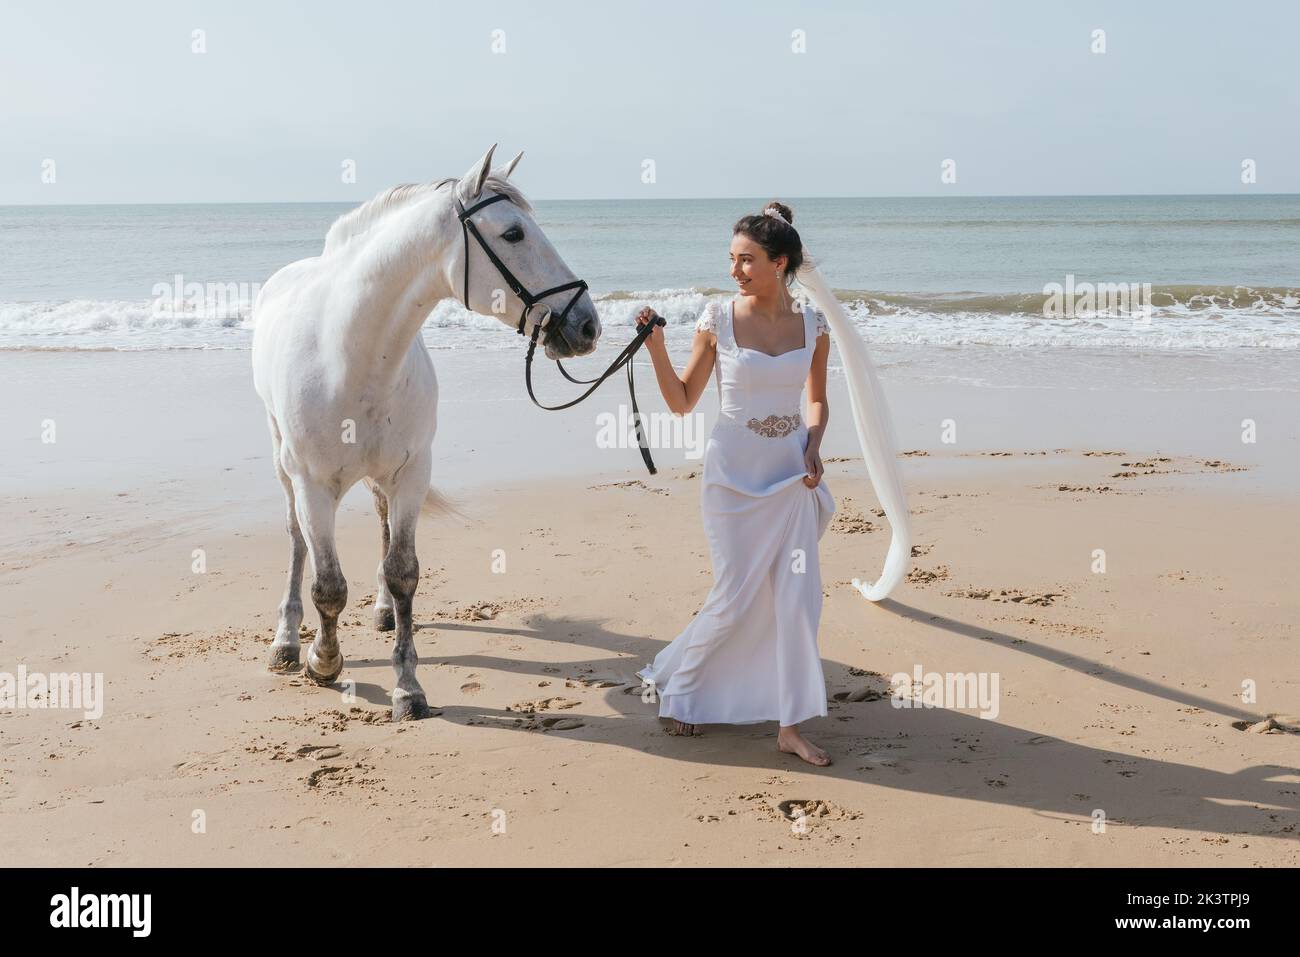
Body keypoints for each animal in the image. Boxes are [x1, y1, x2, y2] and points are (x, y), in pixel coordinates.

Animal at [251, 144, 601, 721]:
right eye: (513, 234)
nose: (587, 324)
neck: (349, 353)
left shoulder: (411, 475)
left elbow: (403, 572)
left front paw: (408, 687)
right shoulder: (313, 485)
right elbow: (327, 585)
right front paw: (323, 660)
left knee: (380, 522)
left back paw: (381, 611)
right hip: (283, 463)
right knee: (296, 540)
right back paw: (285, 641)